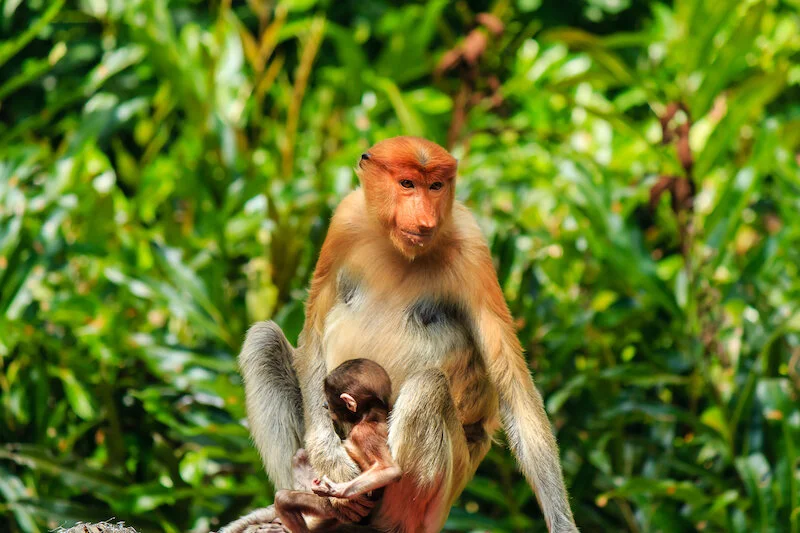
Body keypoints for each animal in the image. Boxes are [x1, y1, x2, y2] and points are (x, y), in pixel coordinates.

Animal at [227, 136, 578, 533]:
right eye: (407, 184)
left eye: (436, 186)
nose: (425, 220)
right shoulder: (344, 222)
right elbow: (313, 332)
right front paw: (329, 458)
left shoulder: (473, 249)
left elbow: (512, 382)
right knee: (263, 340)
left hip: (435, 490)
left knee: (428, 386)